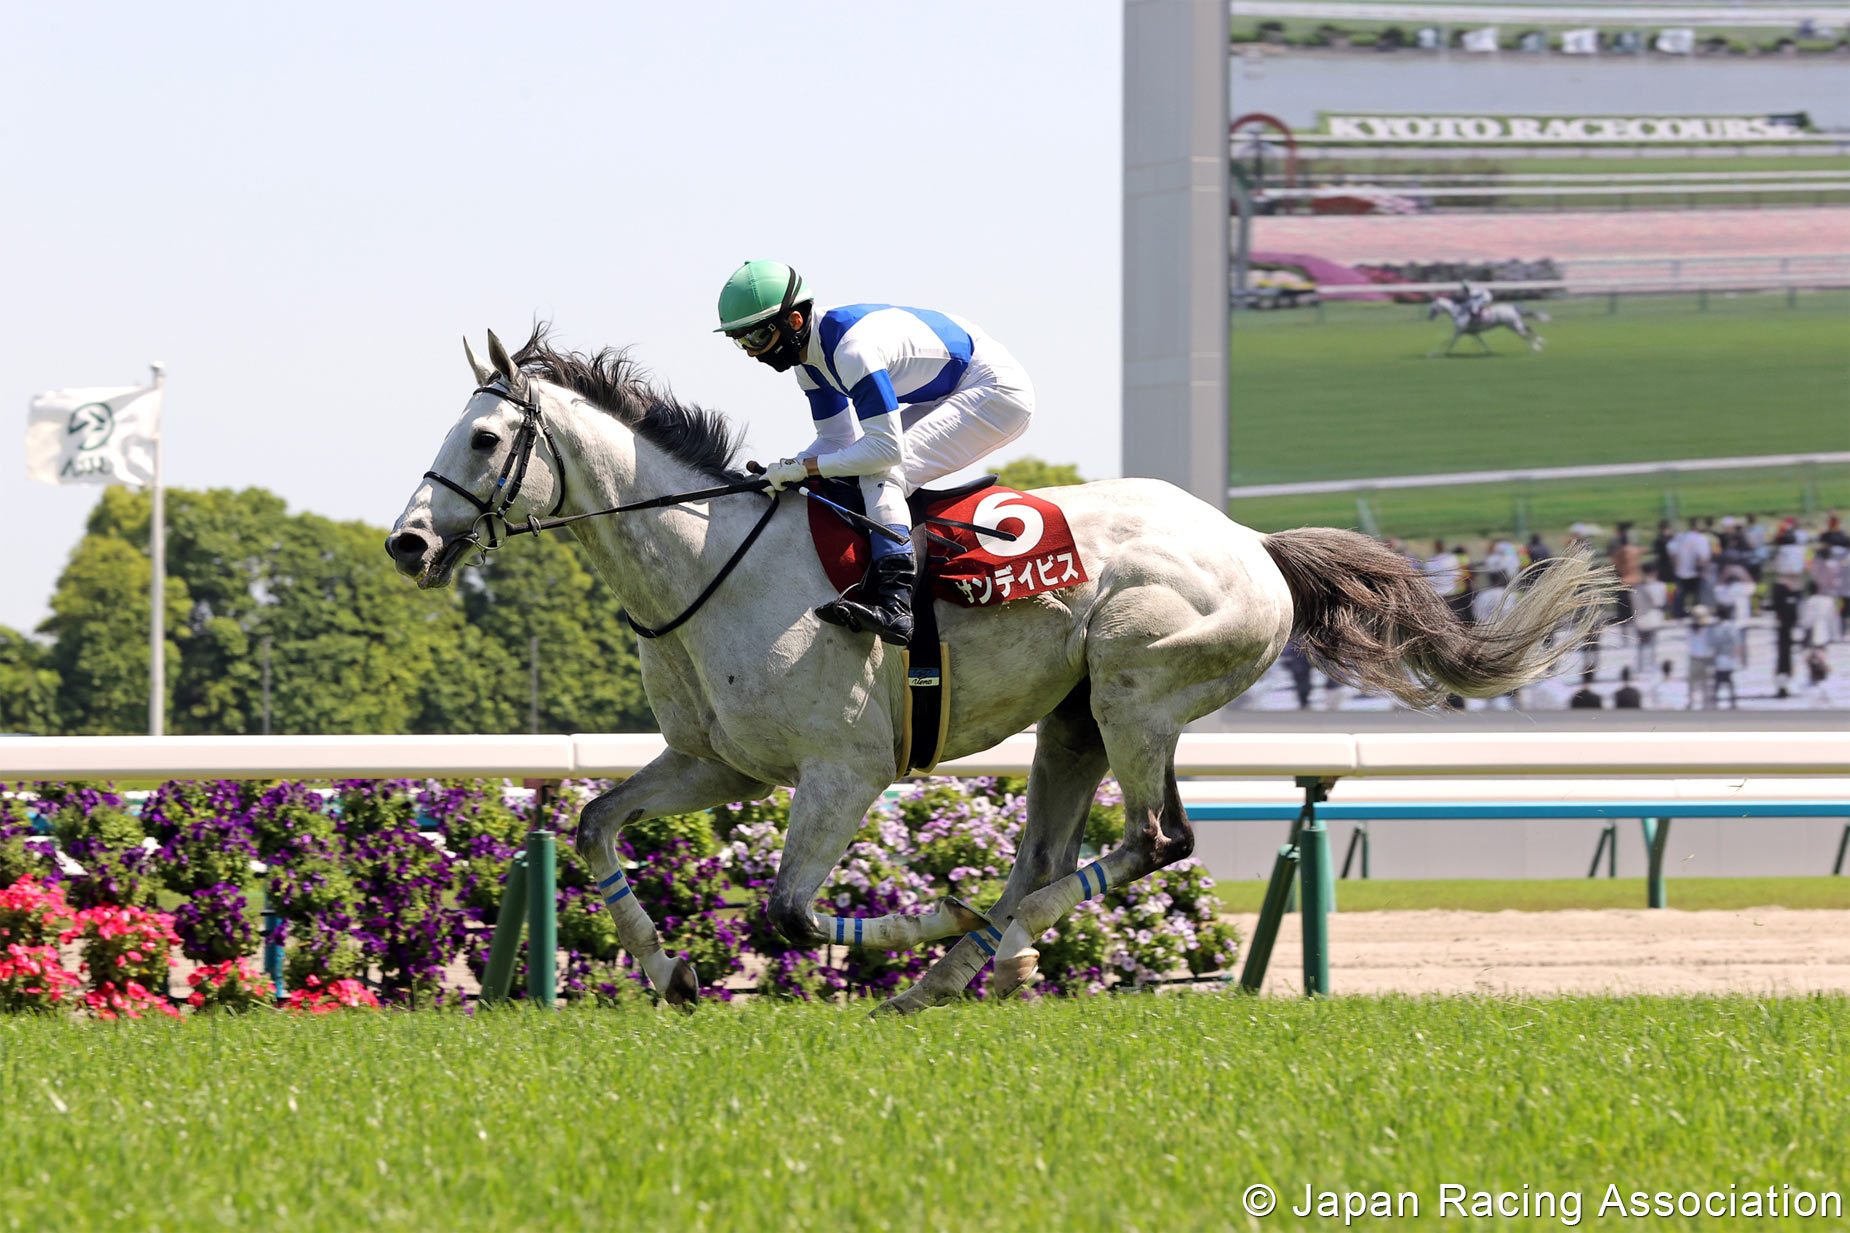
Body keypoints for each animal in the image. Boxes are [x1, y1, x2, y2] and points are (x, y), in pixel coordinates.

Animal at [387, 326, 1614, 1014]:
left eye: (485, 440)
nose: (406, 542)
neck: (708, 563)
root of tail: (1255, 545)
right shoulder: (716, 764)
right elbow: (595, 825)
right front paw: (673, 974)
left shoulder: (844, 770)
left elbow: (788, 915)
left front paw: (921, 921)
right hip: (1072, 723)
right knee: (1051, 859)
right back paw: (959, 970)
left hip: (1136, 687)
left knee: (1154, 841)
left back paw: (953, 957)